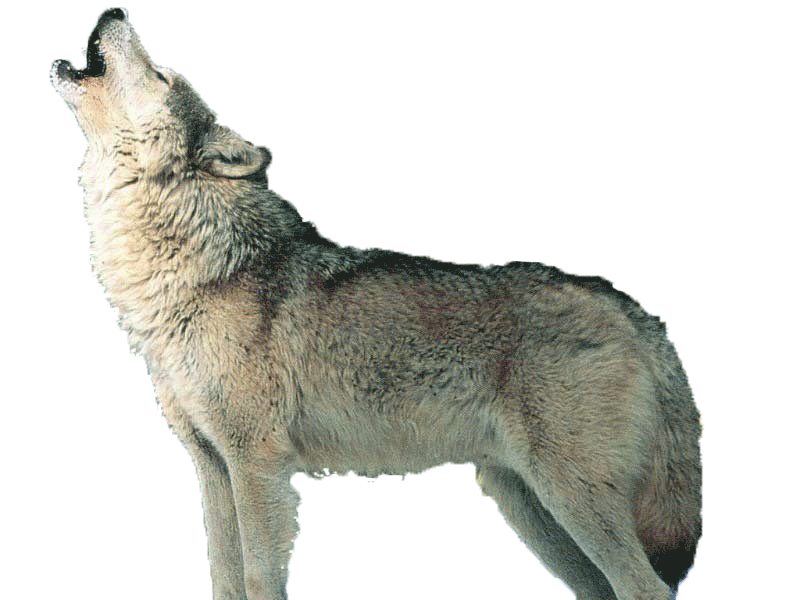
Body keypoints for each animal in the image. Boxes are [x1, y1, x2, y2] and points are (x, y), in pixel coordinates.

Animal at [52, 8, 701, 600]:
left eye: (160, 75)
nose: (114, 11)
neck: (194, 267)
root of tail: (635, 311)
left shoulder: (256, 463)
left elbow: (259, 577)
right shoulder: (211, 464)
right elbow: (222, 577)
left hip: (570, 499)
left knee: (645, 588)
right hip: (531, 510)